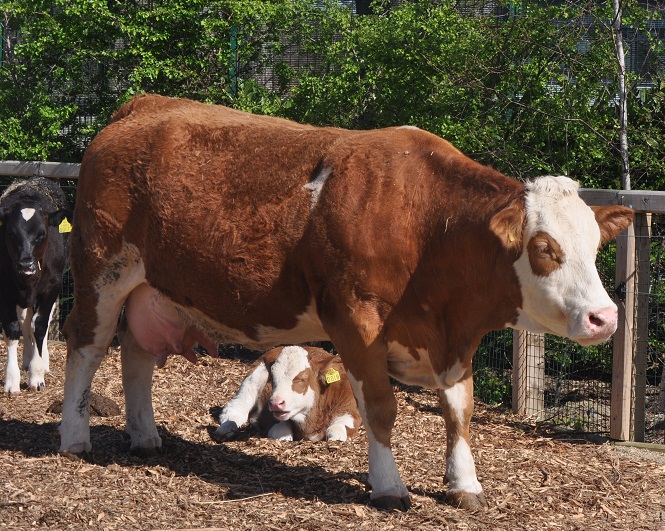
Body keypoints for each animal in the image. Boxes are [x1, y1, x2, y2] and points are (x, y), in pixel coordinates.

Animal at [0, 176, 71, 393]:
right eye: (11, 234)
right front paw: (12, 380)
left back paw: (41, 363)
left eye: (42, 234)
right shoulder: (5, 290)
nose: (26, 265)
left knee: (41, 325)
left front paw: (37, 376)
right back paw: (26, 360)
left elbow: (39, 327)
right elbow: (13, 330)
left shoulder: (51, 288)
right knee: (25, 321)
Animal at [216, 345, 361, 442]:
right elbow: (280, 431)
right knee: (236, 408)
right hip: (254, 377)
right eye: (272, 379)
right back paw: (226, 428)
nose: (275, 403)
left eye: (301, 379)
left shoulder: (351, 409)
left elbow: (336, 431)